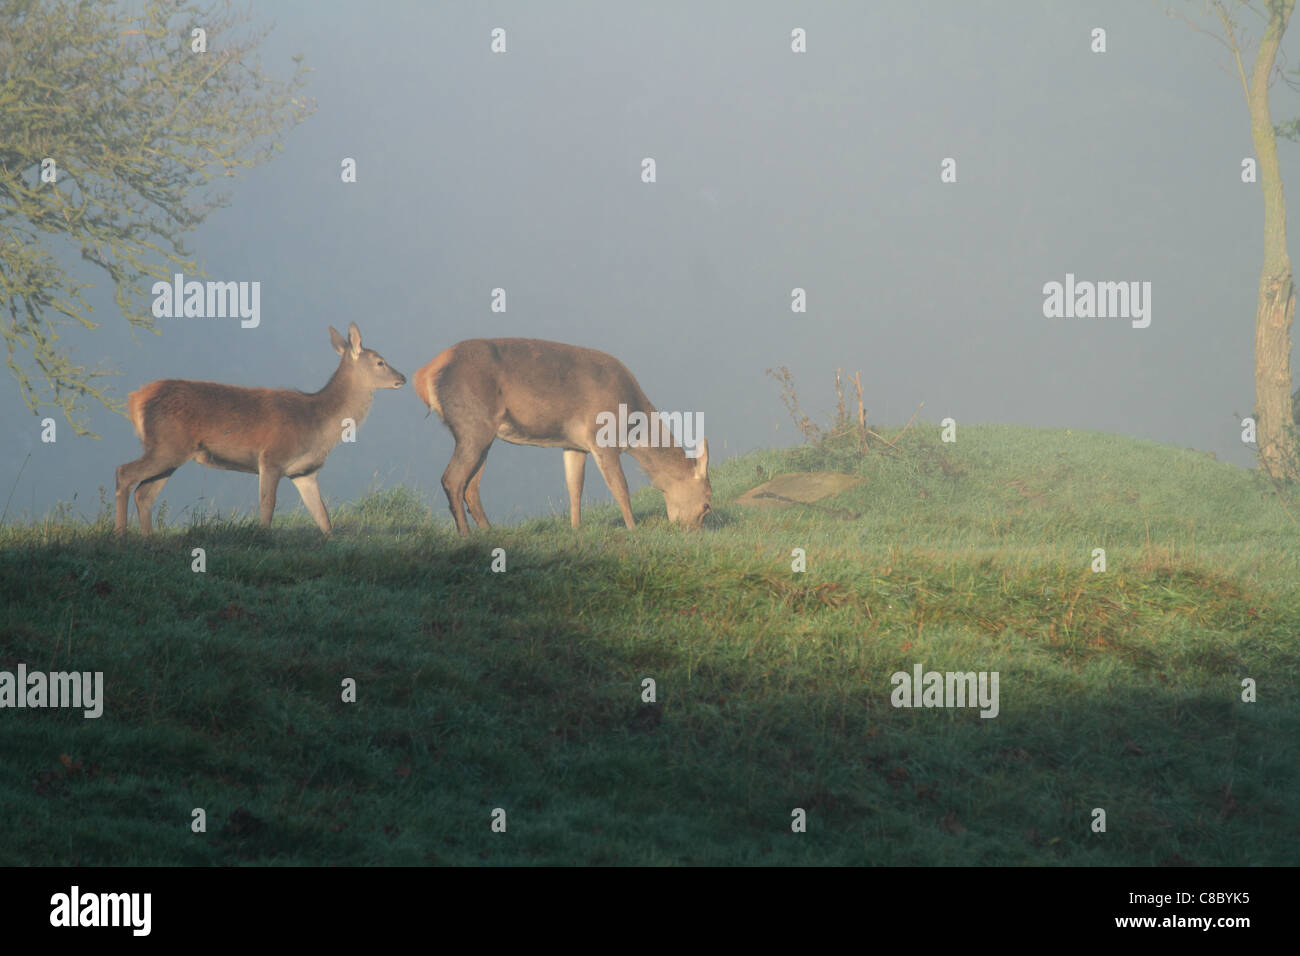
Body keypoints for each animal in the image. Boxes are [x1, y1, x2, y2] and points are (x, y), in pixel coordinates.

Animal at [115, 322, 405, 535]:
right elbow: (267, 506)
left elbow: (323, 517)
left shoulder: (305, 472)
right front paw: (264, 537)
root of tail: (135, 399)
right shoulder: (271, 458)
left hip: (171, 453)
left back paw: (148, 539)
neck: (317, 423)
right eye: (380, 361)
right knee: (124, 473)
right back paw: (121, 536)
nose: (401, 377)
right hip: (168, 445)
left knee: (144, 493)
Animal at [413, 338, 711, 536]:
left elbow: (574, 488)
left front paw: (576, 527)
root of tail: (423, 376)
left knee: (471, 485)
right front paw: (632, 529)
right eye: (708, 504)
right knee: (452, 479)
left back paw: (489, 531)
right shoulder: (602, 436)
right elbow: (620, 488)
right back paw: (466, 535)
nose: (692, 531)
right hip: (472, 423)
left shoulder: (574, 445)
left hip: (482, 434)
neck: (633, 428)